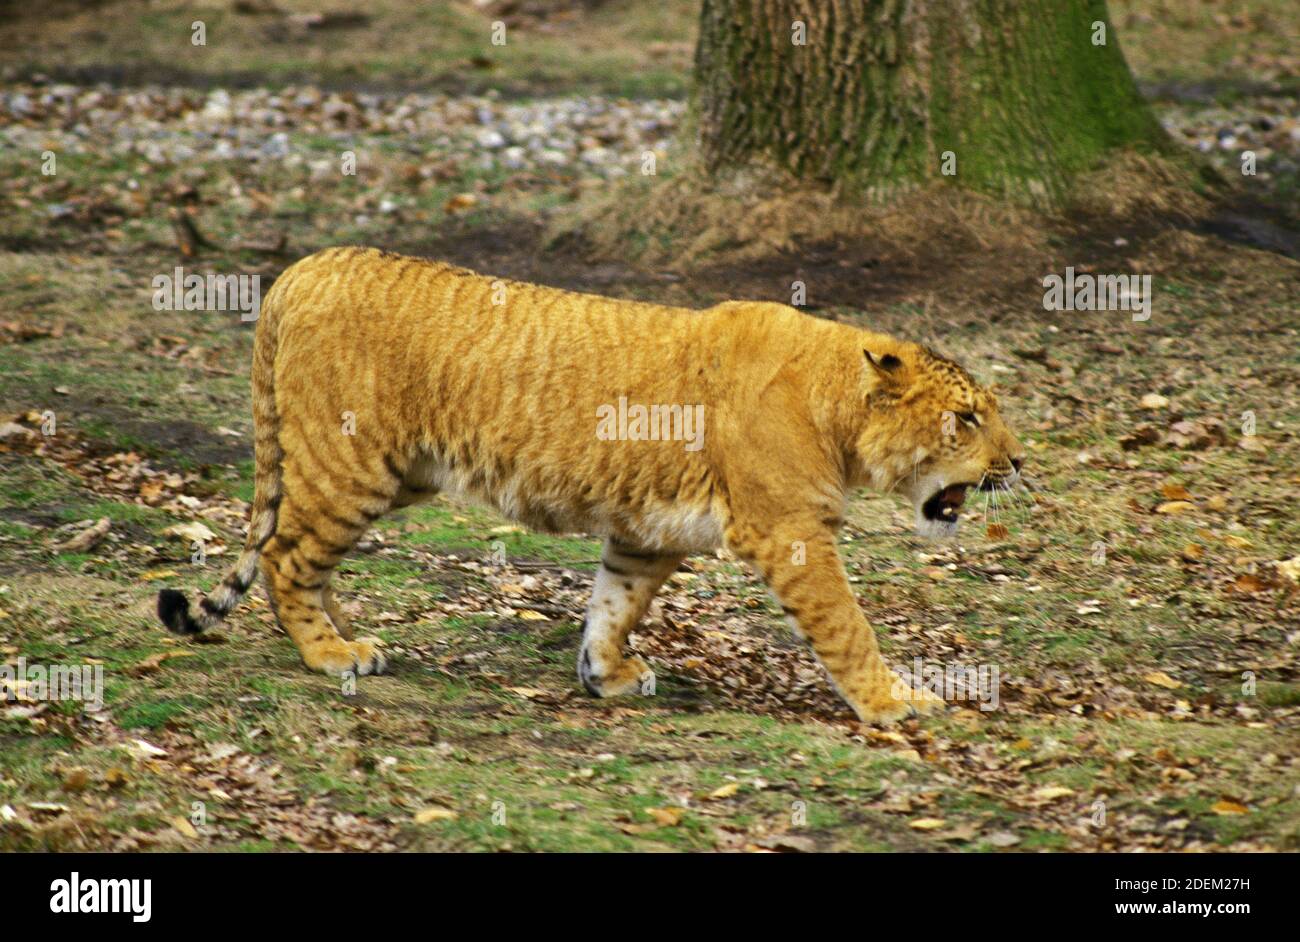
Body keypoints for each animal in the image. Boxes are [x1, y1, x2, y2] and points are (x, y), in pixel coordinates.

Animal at [158, 247, 1025, 725]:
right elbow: (848, 627)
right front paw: (896, 702)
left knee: (297, 553)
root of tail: (304, 268)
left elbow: (617, 602)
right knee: (287, 557)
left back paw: (347, 635)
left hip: (395, 473)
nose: (1019, 464)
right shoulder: (791, 533)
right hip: (352, 466)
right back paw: (332, 654)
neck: (836, 402)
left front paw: (605, 674)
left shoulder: (648, 533)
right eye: (967, 418)